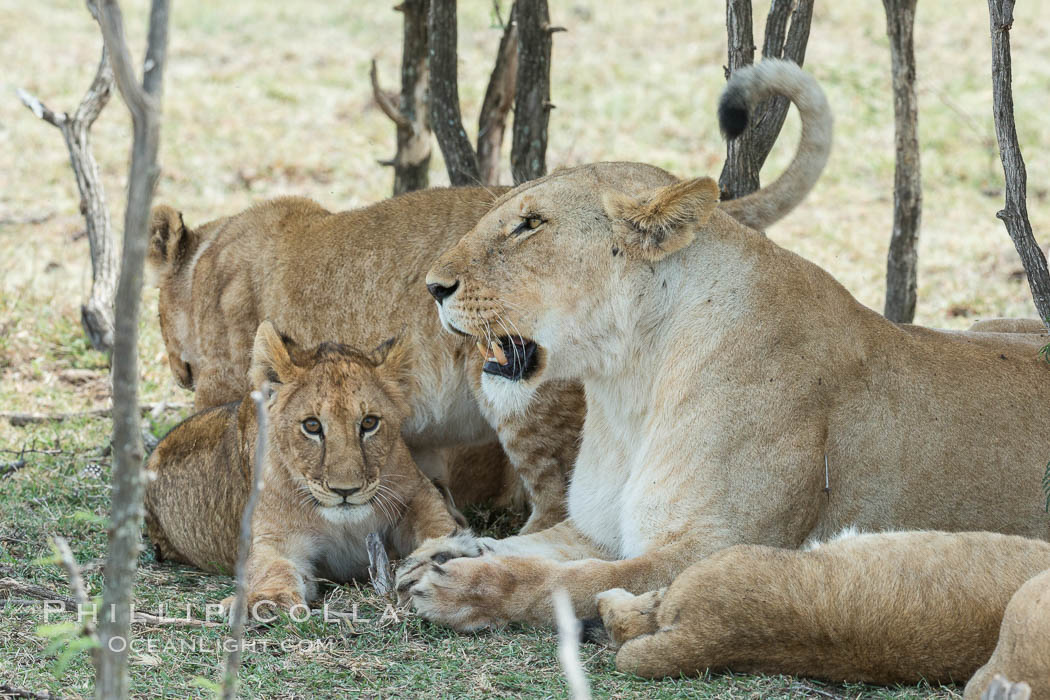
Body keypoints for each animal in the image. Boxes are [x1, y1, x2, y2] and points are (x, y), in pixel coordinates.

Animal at [144, 321, 462, 611]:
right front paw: (266, 601)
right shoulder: (276, 539)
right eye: (312, 426)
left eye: (369, 423)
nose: (345, 490)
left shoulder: (417, 492)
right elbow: (274, 568)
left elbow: (437, 524)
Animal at [392, 58, 1050, 632]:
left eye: (531, 225)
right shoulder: (593, 530)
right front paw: (450, 549)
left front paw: (463, 586)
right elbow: (524, 543)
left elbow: (566, 581)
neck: (630, 385)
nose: (433, 286)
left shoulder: (712, 549)